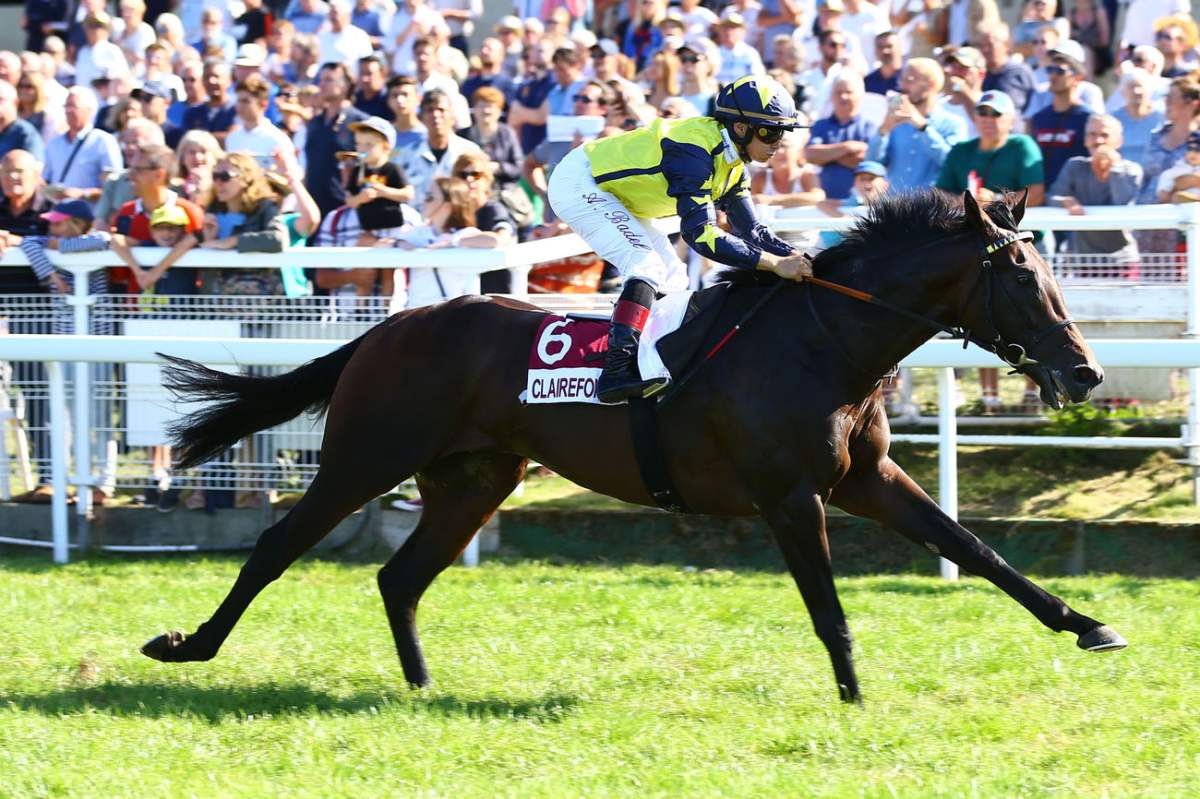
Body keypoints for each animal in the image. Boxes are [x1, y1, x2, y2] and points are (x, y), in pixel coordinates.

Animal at [141, 190, 1127, 704]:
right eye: (1023, 277)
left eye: (1048, 269)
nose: (1083, 372)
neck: (823, 341)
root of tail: (393, 325)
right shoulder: (791, 495)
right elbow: (828, 604)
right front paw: (853, 694)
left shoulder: (867, 477)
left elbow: (975, 548)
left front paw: (1088, 624)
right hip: (365, 456)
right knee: (278, 546)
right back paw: (188, 644)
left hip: (474, 479)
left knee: (400, 576)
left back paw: (421, 686)